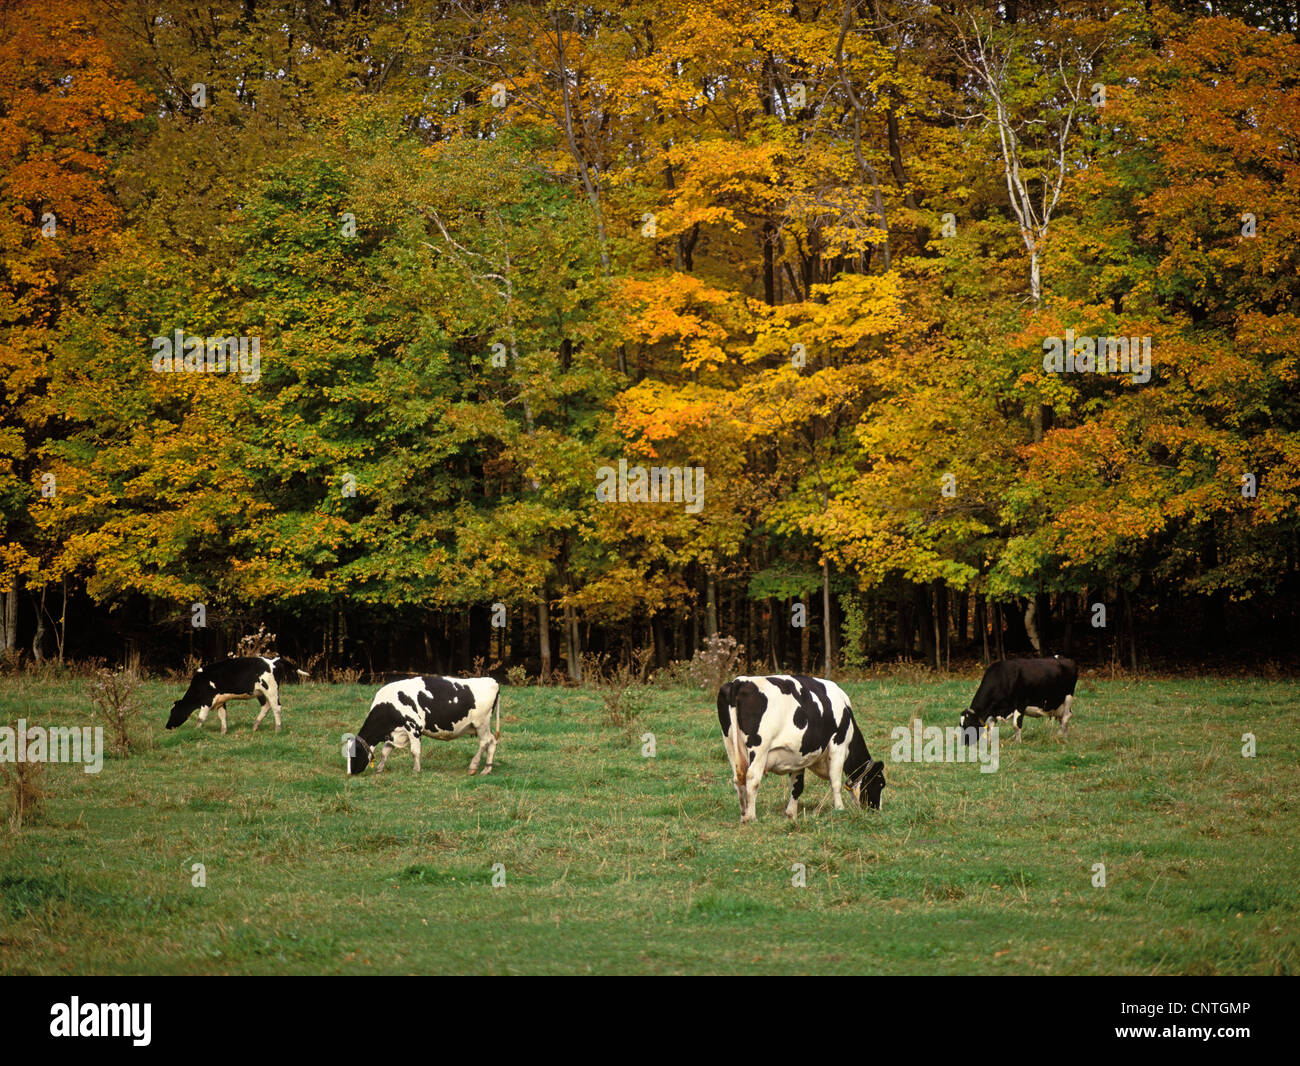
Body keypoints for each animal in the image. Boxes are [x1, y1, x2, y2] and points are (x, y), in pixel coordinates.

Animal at [165, 656, 308, 734]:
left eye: (173, 712)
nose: (167, 726)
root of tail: (273, 660)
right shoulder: (220, 701)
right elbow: (222, 715)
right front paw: (223, 732)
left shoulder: (207, 700)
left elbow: (201, 717)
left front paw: (196, 730)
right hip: (260, 693)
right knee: (266, 706)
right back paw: (255, 726)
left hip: (271, 690)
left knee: (276, 708)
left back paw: (277, 729)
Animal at [346, 675, 500, 776]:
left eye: (354, 753)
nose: (350, 773)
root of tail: (491, 680)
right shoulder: (394, 733)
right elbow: (385, 751)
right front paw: (379, 768)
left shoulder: (414, 726)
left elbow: (415, 751)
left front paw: (416, 769)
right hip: (483, 725)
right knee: (492, 741)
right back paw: (487, 769)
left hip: (481, 723)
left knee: (485, 741)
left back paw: (474, 766)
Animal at [716, 675, 886, 824]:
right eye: (880, 784)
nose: (877, 810)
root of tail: (739, 681)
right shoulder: (838, 746)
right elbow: (836, 782)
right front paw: (839, 809)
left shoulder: (798, 758)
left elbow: (797, 785)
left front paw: (791, 814)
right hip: (759, 748)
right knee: (752, 778)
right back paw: (751, 817)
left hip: (730, 745)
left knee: (738, 779)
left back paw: (743, 815)